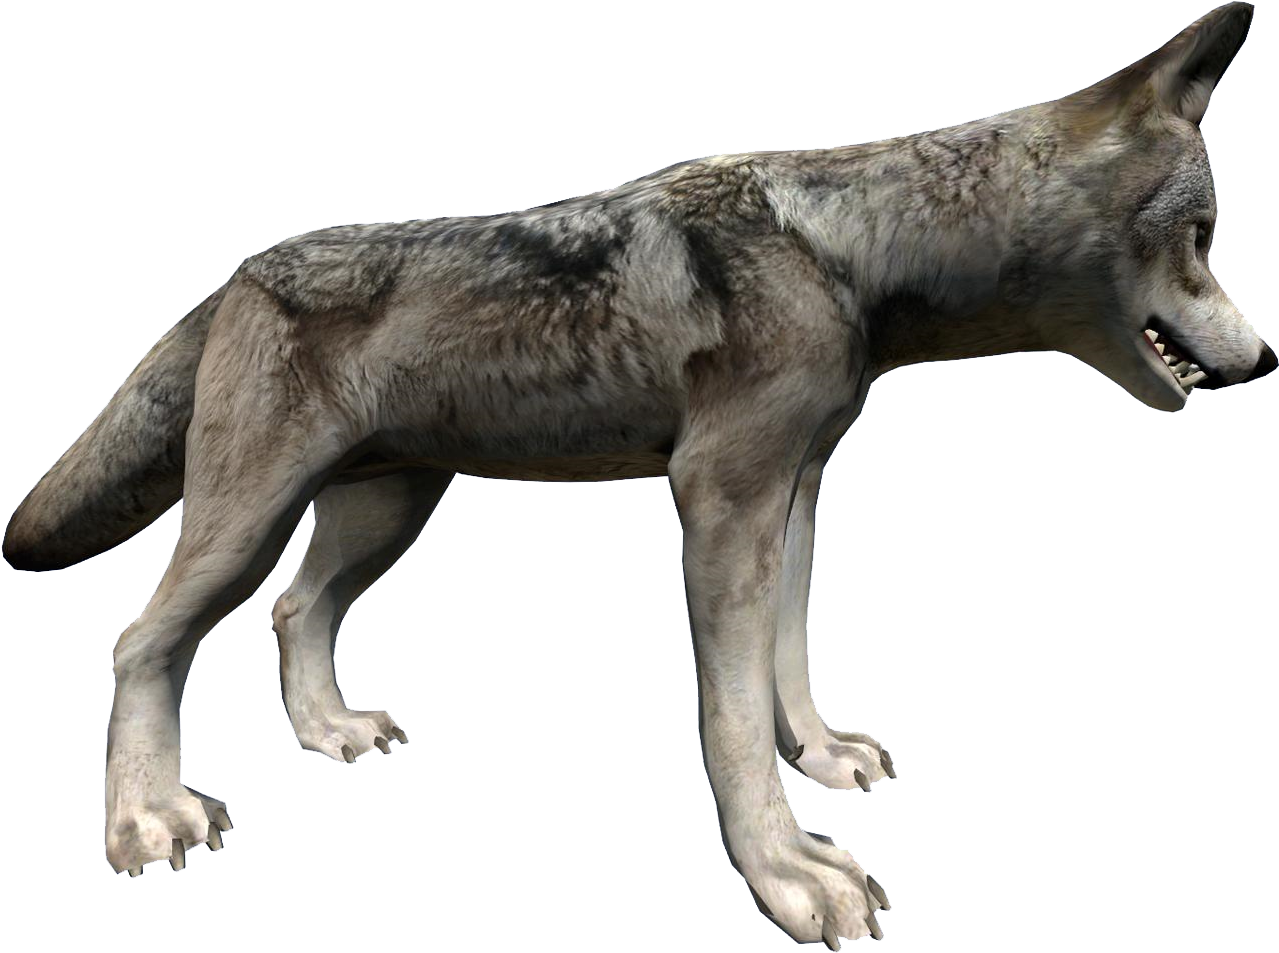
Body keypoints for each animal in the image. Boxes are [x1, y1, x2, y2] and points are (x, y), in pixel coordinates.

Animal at [4, 2, 1269, 944]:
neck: (847, 247)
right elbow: (728, 716)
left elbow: (786, 662)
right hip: (247, 520)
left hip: (384, 516)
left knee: (294, 610)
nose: (1263, 362)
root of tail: (237, 272)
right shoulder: (718, 501)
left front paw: (820, 755)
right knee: (145, 638)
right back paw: (147, 817)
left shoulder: (797, 492)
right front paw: (789, 873)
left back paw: (328, 733)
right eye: (1202, 241)